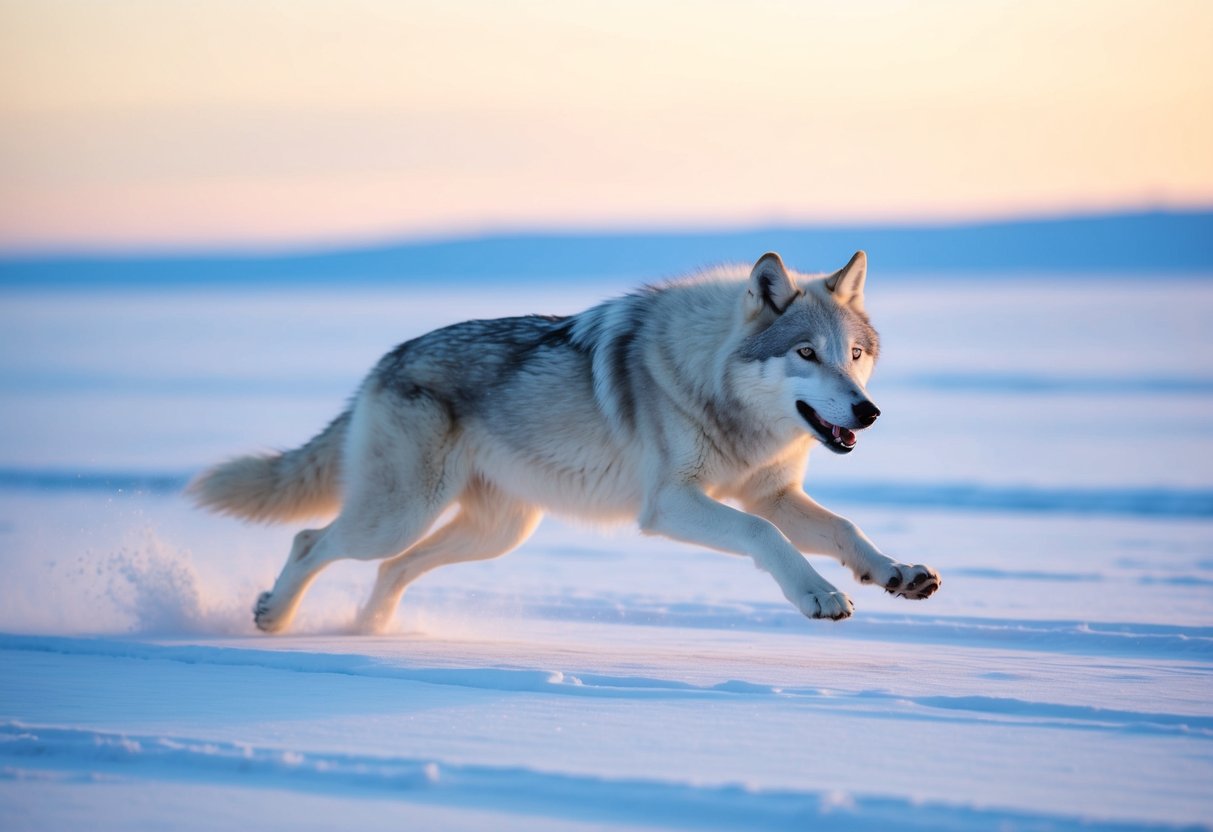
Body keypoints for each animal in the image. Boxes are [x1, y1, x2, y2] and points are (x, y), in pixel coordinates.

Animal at [190, 251, 940, 634]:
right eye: (806, 353)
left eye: (854, 354)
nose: (868, 411)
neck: (706, 375)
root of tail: (384, 360)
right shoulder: (672, 504)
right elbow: (766, 537)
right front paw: (818, 595)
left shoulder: (771, 492)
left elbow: (842, 528)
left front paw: (896, 572)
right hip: (398, 515)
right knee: (309, 542)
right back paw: (274, 615)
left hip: (494, 533)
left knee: (392, 570)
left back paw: (367, 631)